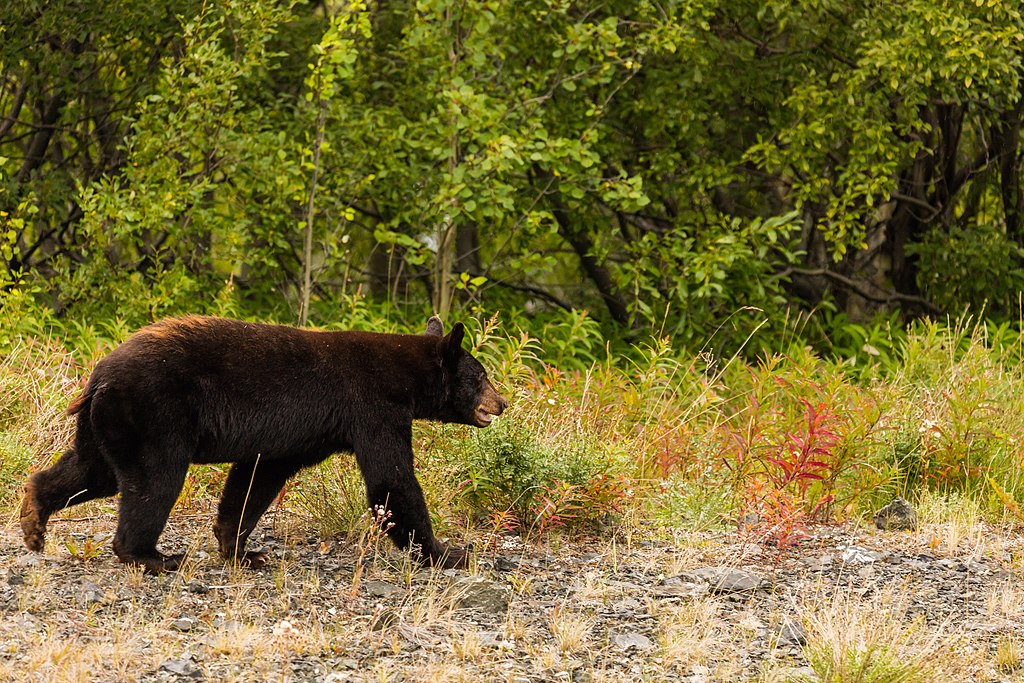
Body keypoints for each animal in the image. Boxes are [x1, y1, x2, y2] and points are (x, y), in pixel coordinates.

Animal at [20, 315, 507, 573]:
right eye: (481, 374)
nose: (501, 402)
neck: (405, 376)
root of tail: (98, 375)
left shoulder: (294, 436)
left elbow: (256, 478)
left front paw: (241, 550)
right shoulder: (373, 406)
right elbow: (392, 479)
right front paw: (448, 551)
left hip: (109, 423)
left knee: (91, 470)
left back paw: (33, 519)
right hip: (154, 414)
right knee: (153, 481)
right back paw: (151, 556)